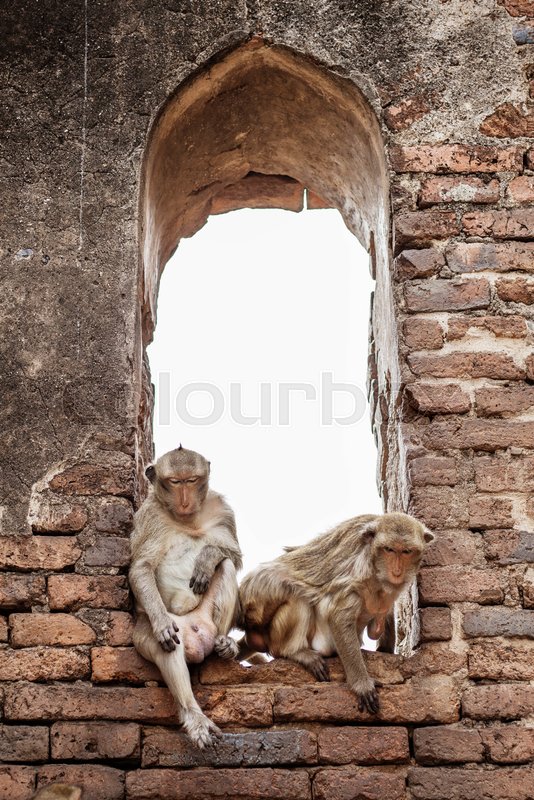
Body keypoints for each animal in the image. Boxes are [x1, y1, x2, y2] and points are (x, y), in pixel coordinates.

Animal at [129, 446, 242, 747]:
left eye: (191, 481)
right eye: (174, 482)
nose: (184, 500)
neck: (186, 519)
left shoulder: (222, 509)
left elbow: (234, 555)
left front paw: (206, 558)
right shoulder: (149, 516)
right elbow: (141, 567)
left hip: (206, 620)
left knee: (226, 565)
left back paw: (224, 643)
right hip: (147, 631)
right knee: (168, 648)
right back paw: (195, 717)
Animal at [239, 512, 434, 714]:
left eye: (406, 552)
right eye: (389, 549)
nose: (396, 571)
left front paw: (385, 647)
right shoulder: (357, 572)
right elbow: (339, 617)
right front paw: (361, 684)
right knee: (295, 593)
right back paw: (295, 651)